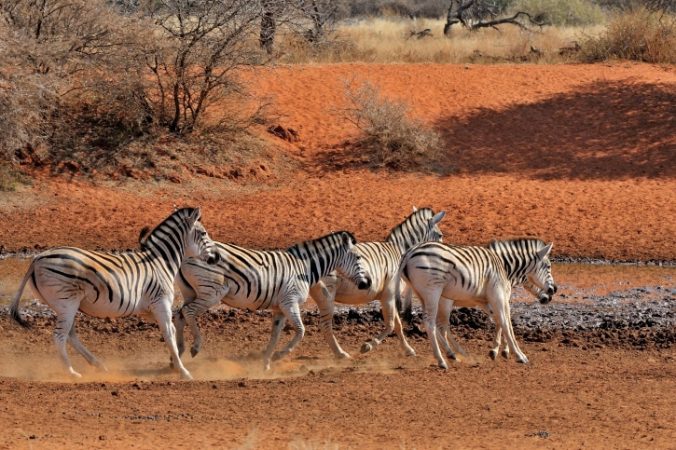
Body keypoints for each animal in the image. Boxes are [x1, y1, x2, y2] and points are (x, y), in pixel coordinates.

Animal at [9, 207, 220, 380]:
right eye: (203, 233)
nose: (216, 258)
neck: (161, 262)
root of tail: (37, 258)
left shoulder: (149, 309)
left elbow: (172, 330)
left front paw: (176, 363)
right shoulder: (160, 303)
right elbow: (169, 334)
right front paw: (183, 371)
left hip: (63, 305)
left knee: (70, 335)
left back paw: (97, 365)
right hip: (67, 302)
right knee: (60, 336)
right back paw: (71, 373)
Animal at [174, 231, 372, 371]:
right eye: (358, 257)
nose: (368, 283)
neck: (304, 268)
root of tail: (186, 254)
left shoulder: (279, 308)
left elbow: (275, 336)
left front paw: (266, 363)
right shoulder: (290, 301)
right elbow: (301, 331)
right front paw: (279, 356)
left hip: (192, 292)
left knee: (179, 315)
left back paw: (177, 353)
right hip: (212, 291)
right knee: (188, 312)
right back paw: (194, 347)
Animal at [309, 207, 446, 359]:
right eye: (440, 235)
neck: (401, 253)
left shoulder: (390, 297)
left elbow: (397, 325)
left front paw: (408, 349)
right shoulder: (389, 295)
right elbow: (391, 325)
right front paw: (367, 346)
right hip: (327, 297)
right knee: (325, 326)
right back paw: (340, 353)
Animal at [395, 238, 556, 369]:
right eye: (548, 266)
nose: (554, 290)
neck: (504, 266)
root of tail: (409, 252)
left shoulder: (486, 301)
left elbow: (500, 321)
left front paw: (499, 351)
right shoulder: (498, 295)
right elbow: (506, 323)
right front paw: (518, 354)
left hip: (423, 294)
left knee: (434, 324)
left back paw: (452, 354)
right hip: (434, 293)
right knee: (432, 324)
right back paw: (442, 360)